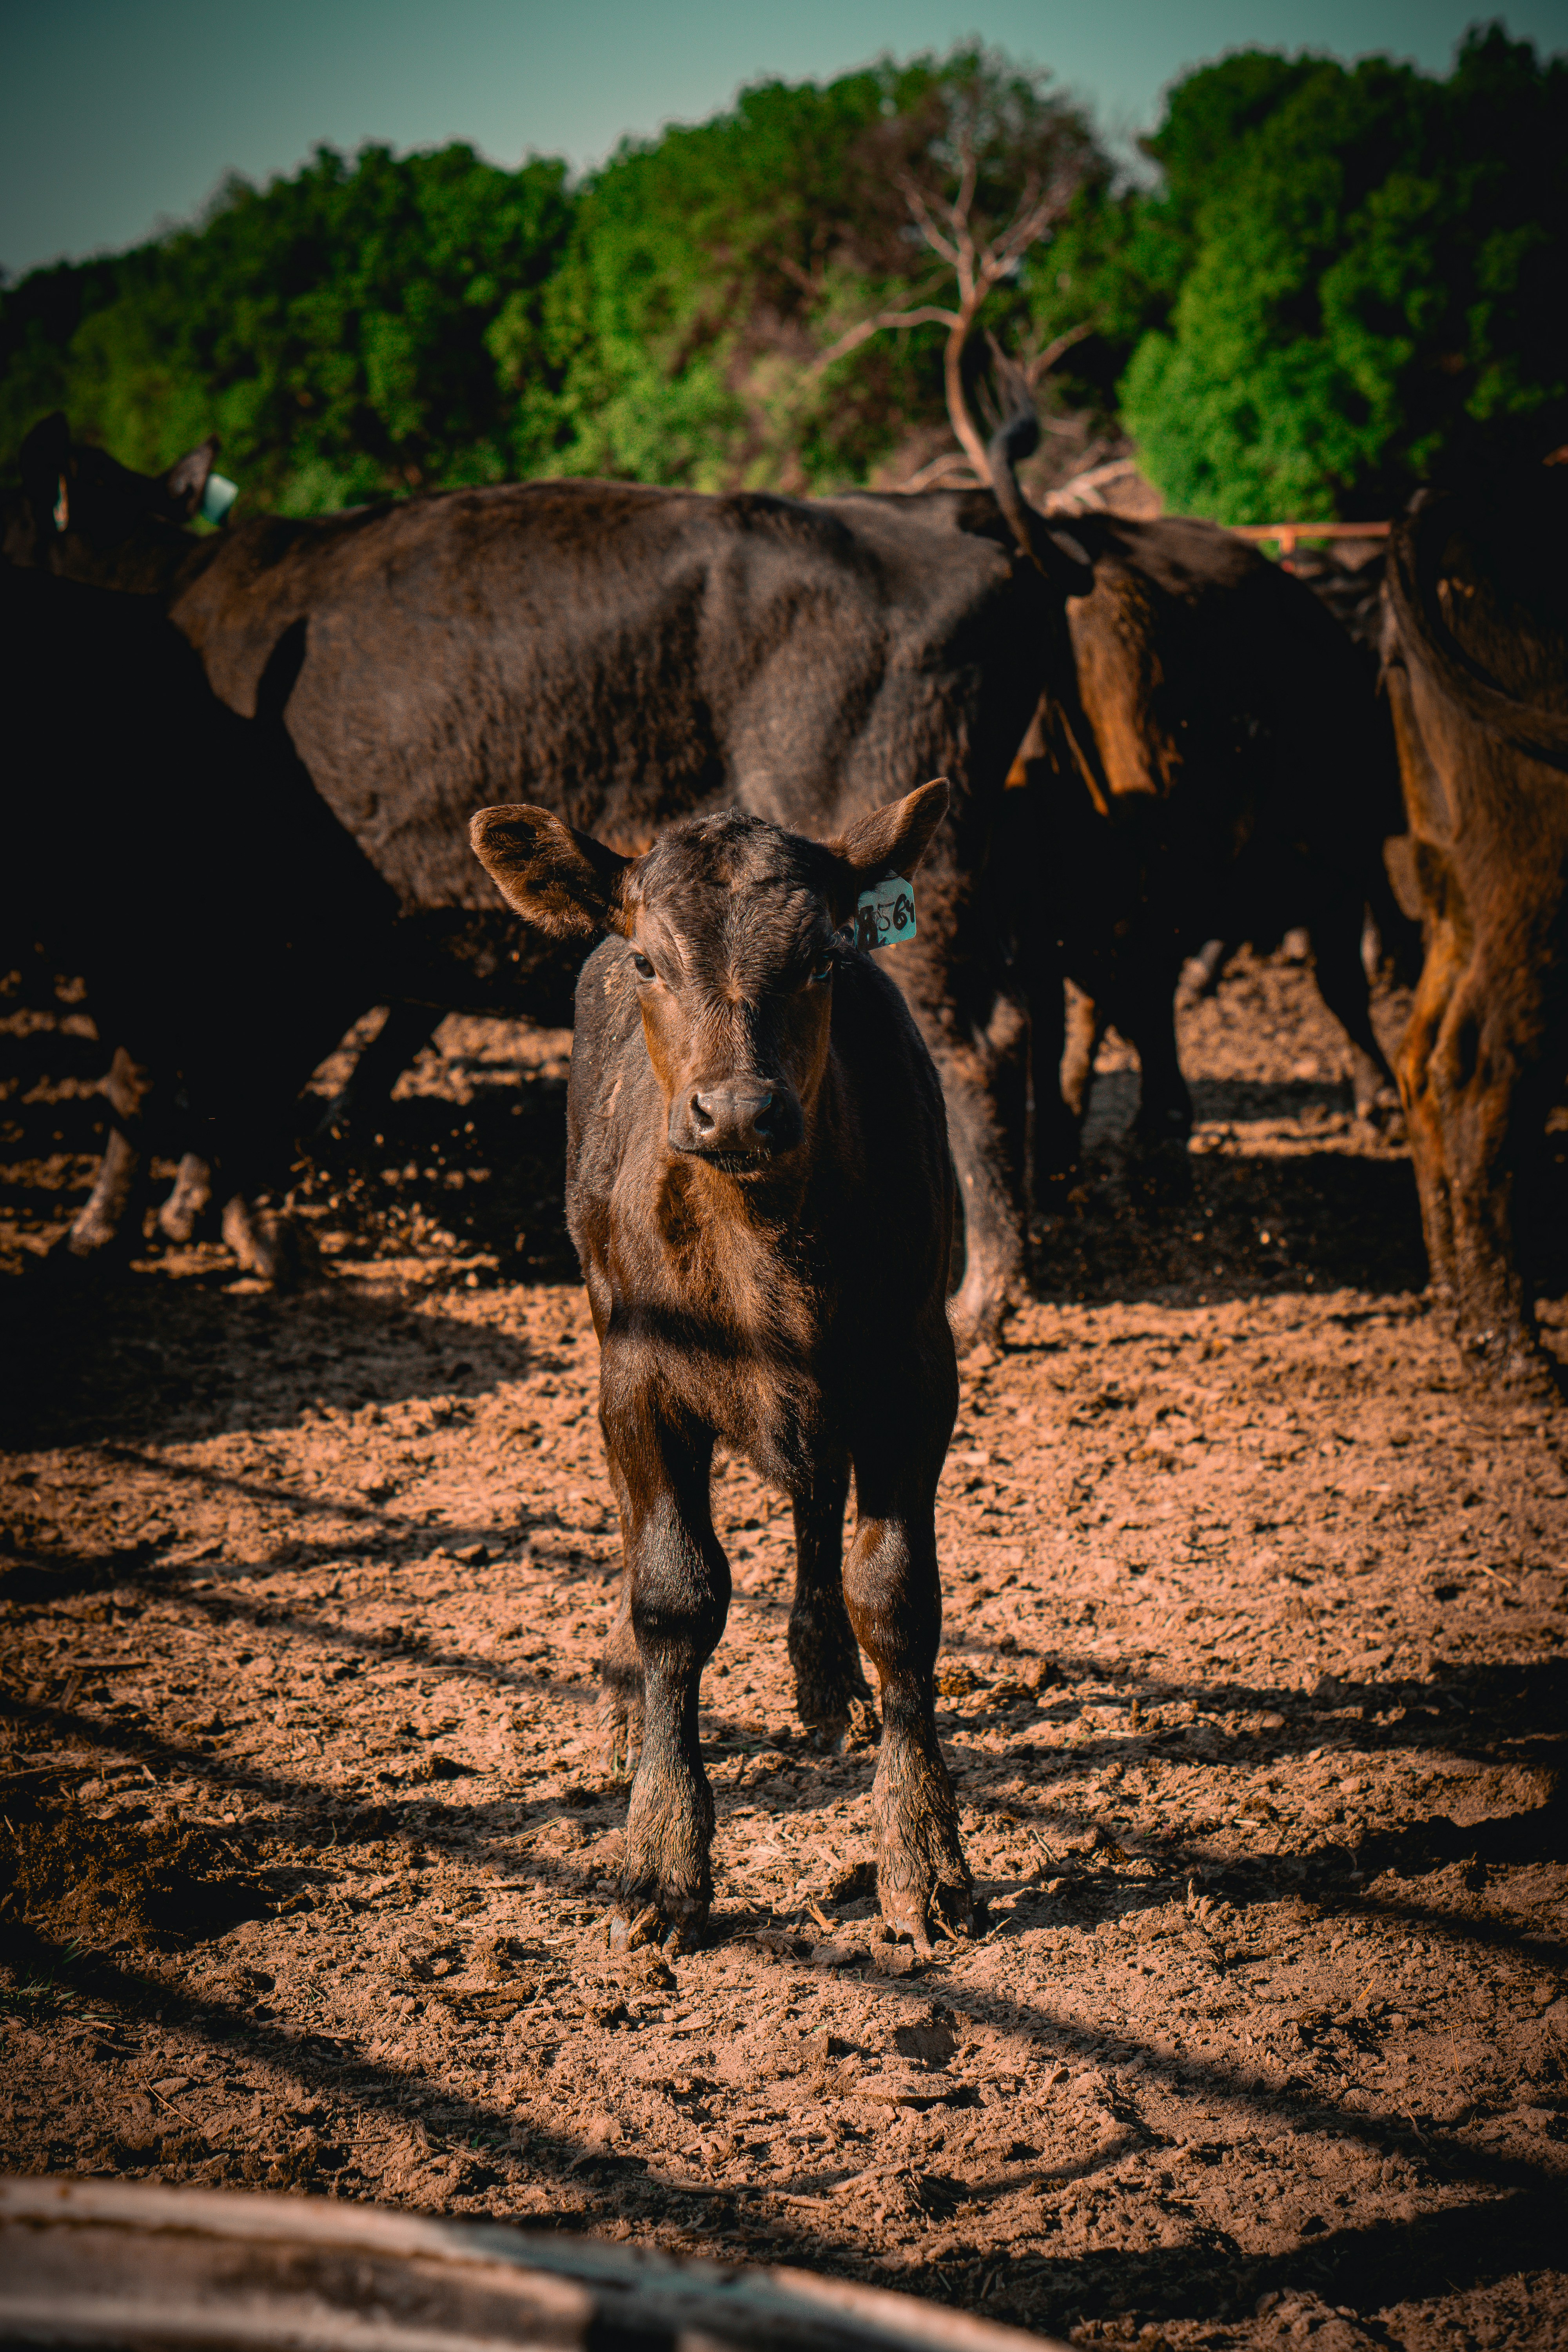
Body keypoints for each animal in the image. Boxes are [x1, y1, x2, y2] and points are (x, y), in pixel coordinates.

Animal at [469, 783, 972, 1952]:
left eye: (826, 958)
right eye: (650, 961)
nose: (737, 1110)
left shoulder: (914, 1370)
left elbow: (894, 1593)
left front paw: (922, 1854)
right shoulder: (636, 1378)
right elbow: (675, 1594)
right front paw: (660, 1858)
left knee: (816, 1506)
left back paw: (826, 1680)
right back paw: (623, 1693)